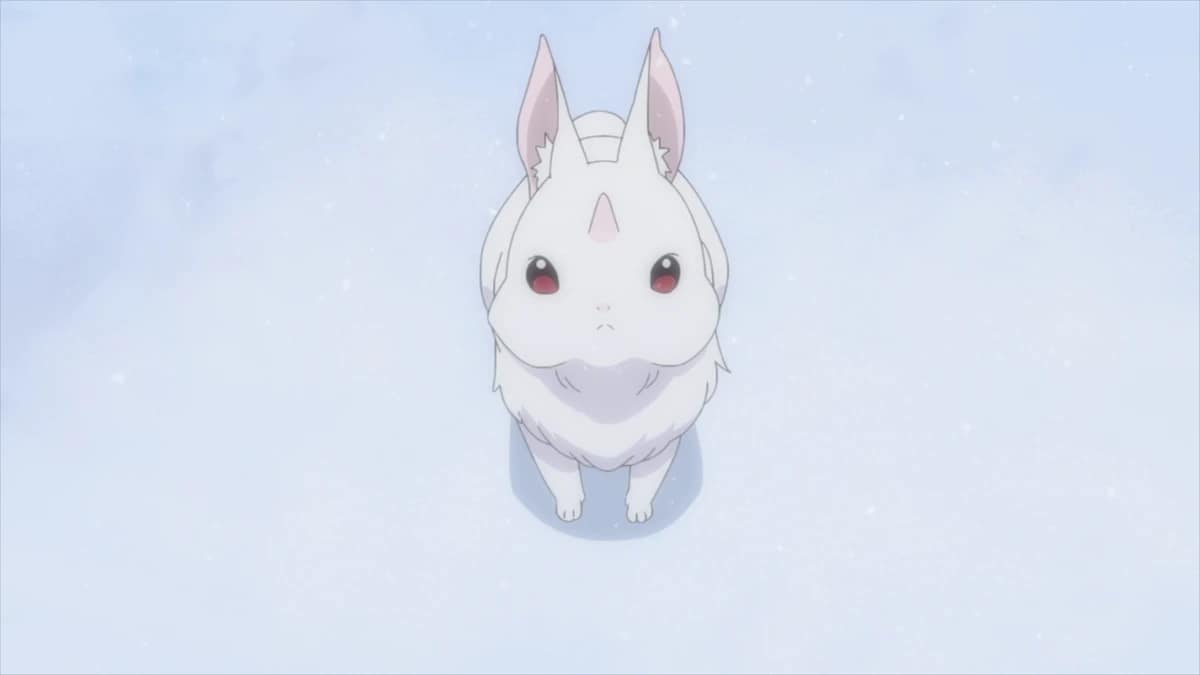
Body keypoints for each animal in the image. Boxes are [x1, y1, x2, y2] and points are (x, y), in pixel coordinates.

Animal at [479, 29, 729, 524]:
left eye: (668, 273)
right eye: (539, 275)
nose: (604, 310)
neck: (606, 384)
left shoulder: (665, 434)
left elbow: (649, 475)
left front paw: (638, 515)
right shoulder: (538, 430)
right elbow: (559, 474)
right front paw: (569, 513)